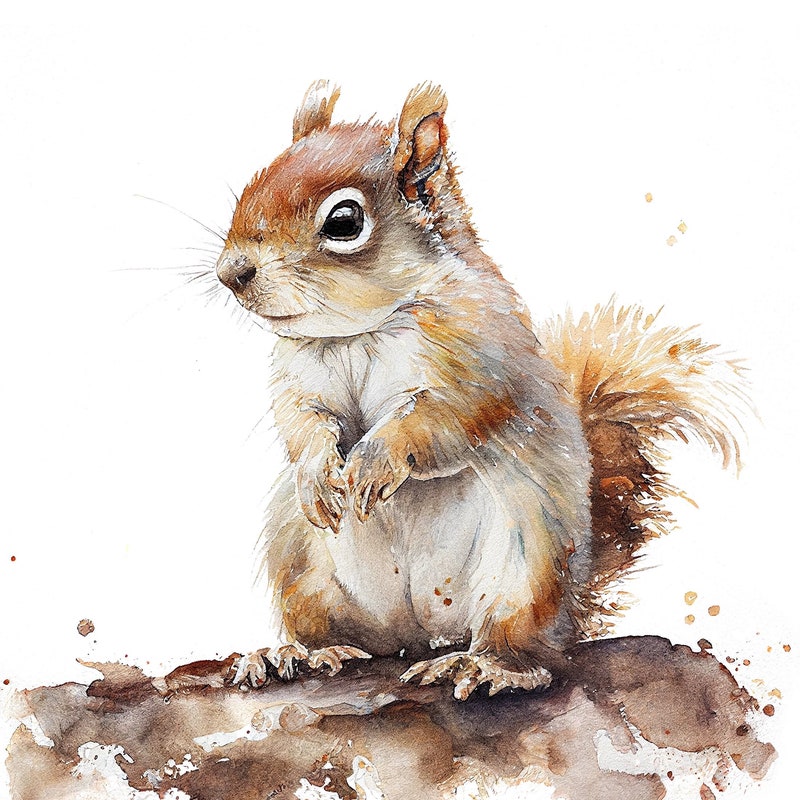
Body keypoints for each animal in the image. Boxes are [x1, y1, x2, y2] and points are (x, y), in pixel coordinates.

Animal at [214, 81, 747, 699]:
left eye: (344, 221)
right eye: (251, 186)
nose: (231, 273)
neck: (363, 331)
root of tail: (420, 631)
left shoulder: (482, 361)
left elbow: (440, 420)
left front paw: (375, 459)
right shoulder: (300, 378)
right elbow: (302, 420)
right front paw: (318, 469)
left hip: (526, 564)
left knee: (523, 645)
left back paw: (484, 665)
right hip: (301, 561)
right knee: (344, 633)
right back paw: (298, 654)